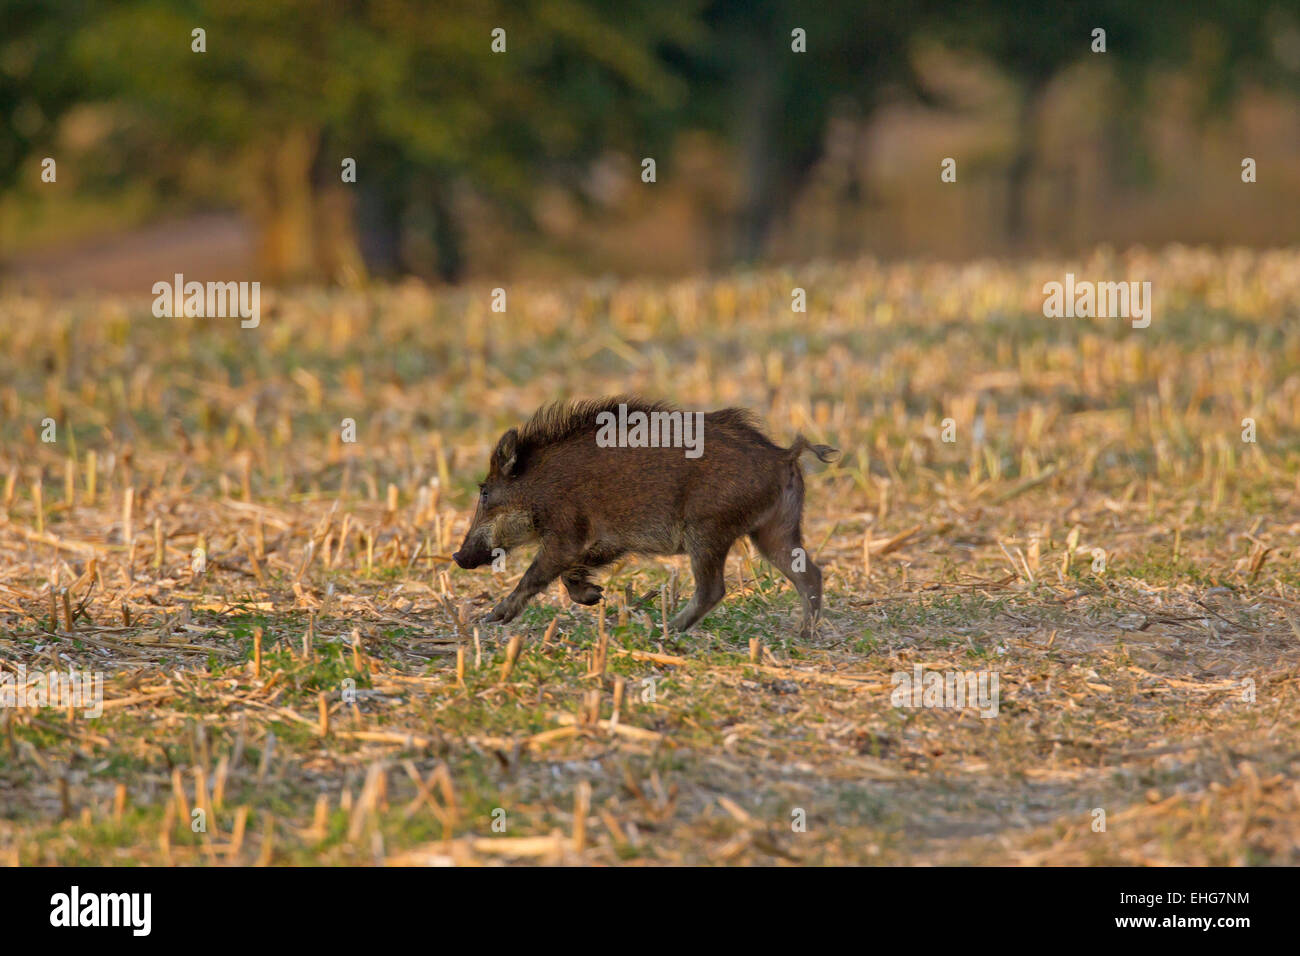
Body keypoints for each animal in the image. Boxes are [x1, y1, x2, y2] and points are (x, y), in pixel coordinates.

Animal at [452, 397, 838, 638]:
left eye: (484, 492)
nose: (457, 556)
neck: (538, 486)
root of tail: (783, 456)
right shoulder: (608, 540)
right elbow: (573, 571)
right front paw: (595, 596)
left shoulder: (567, 532)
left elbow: (538, 573)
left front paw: (495, 616)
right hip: (774, 531)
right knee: (810, 575)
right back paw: (805, 633)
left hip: (708, 529)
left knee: (713, 589)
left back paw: (663, 632)